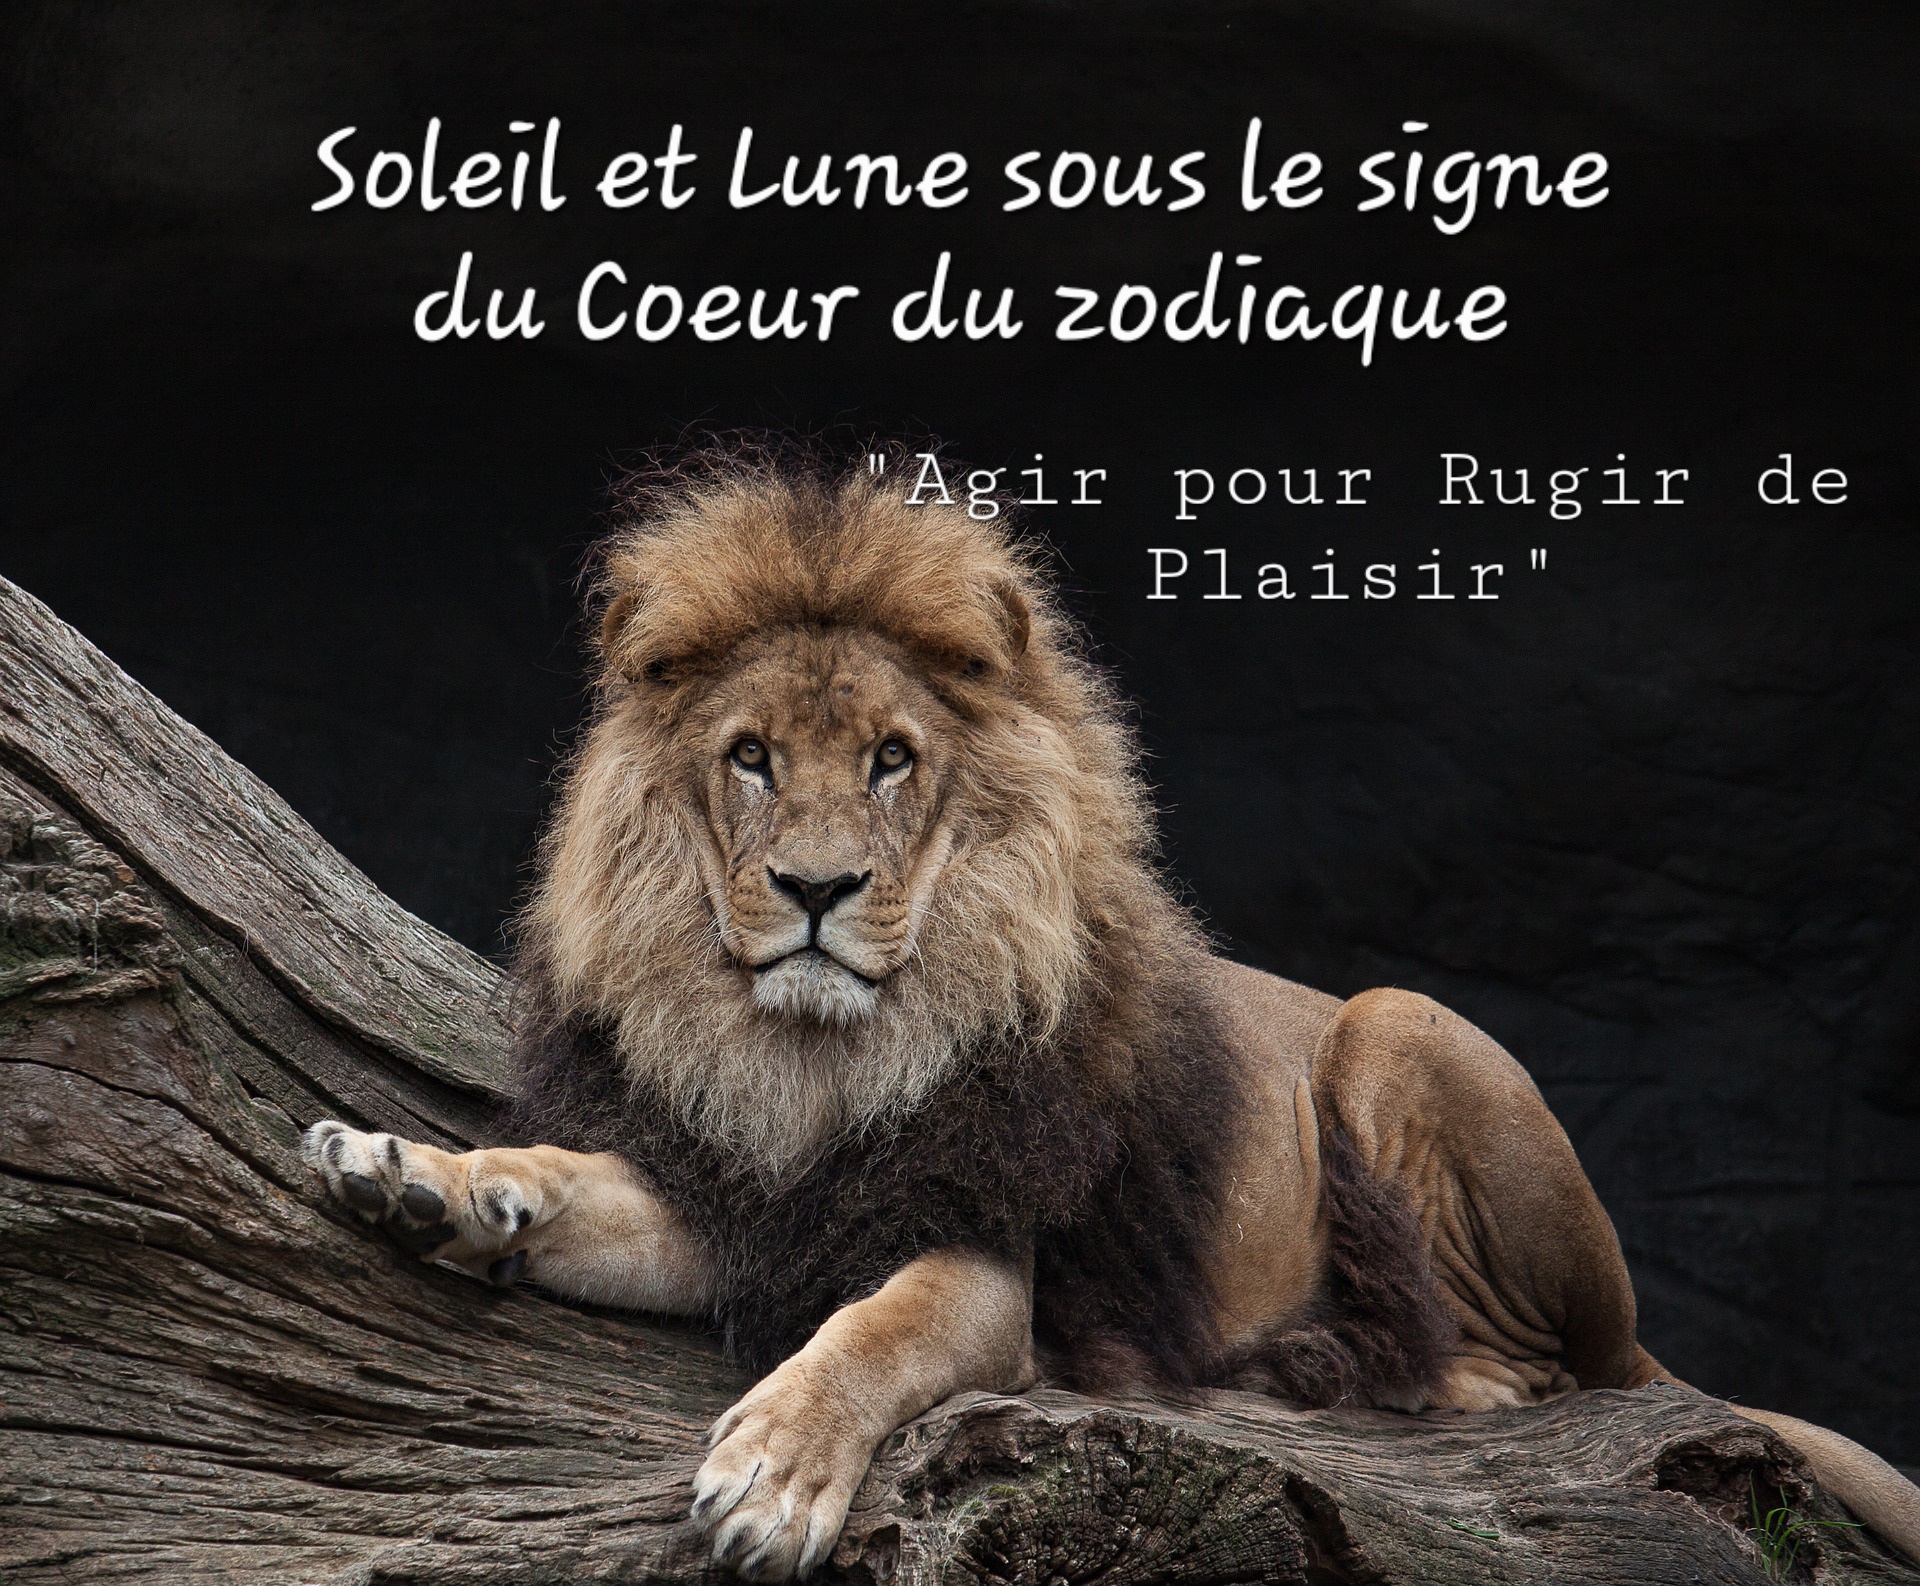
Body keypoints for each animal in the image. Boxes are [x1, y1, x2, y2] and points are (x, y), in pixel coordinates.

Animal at [303, 453, 1920, 1580]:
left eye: (893, 758)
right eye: (751, 756)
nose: (817, 889)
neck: (816, 1055)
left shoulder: (981, 1258)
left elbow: (875, 1333)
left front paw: (773, 1474)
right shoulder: (763, 1200)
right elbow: (577, 1182)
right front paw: (420, 1177)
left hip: (1399, 1030)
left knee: (1530, 1370)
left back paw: (1341, 1368)